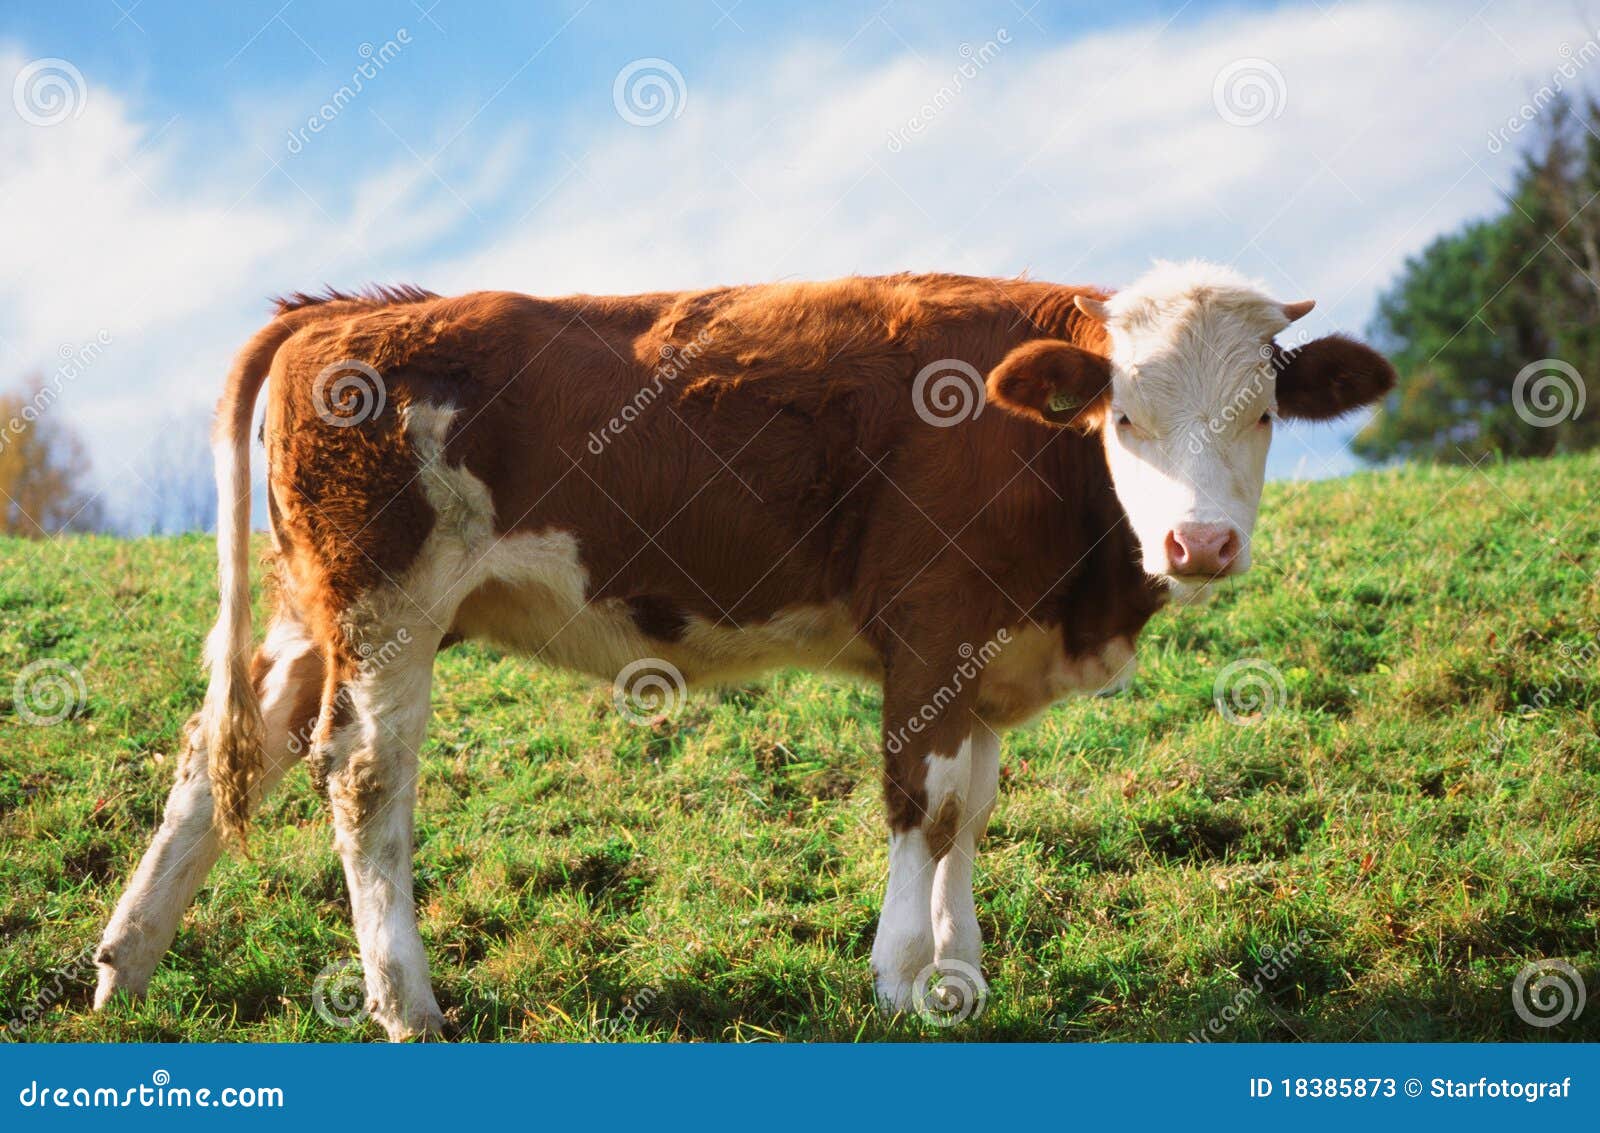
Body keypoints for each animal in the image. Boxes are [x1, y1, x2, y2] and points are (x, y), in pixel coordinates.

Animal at [93, 261, 1394, 1039]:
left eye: (1263, 414)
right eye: (1126, 414)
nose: (1199, 539)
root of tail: (346, 306)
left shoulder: (983, 645)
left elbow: (969, 807)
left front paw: (962, 975)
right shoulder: (930, 622)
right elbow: (919, 802)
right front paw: (899, 977)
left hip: (313, 612)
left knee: (224, 747)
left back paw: (125, 962)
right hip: (387, 611)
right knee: (362, 777)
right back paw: (407, 1002)